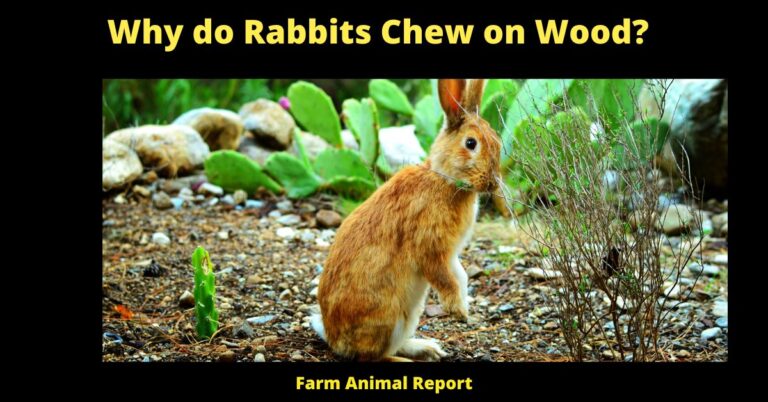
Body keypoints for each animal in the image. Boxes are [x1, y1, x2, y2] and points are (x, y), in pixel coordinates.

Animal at [311, 79, 502, 362]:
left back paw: (426, 348)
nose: (492, 183)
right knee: (372, 356)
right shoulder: (430, 247)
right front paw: (456, 310)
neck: (443, 178)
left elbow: (461, 276)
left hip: (410, 313)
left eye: (498, 140)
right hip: (389, 315)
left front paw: (465, 309)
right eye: (471, 143)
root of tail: (334, 340)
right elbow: (444, 278)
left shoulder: (452, 255)